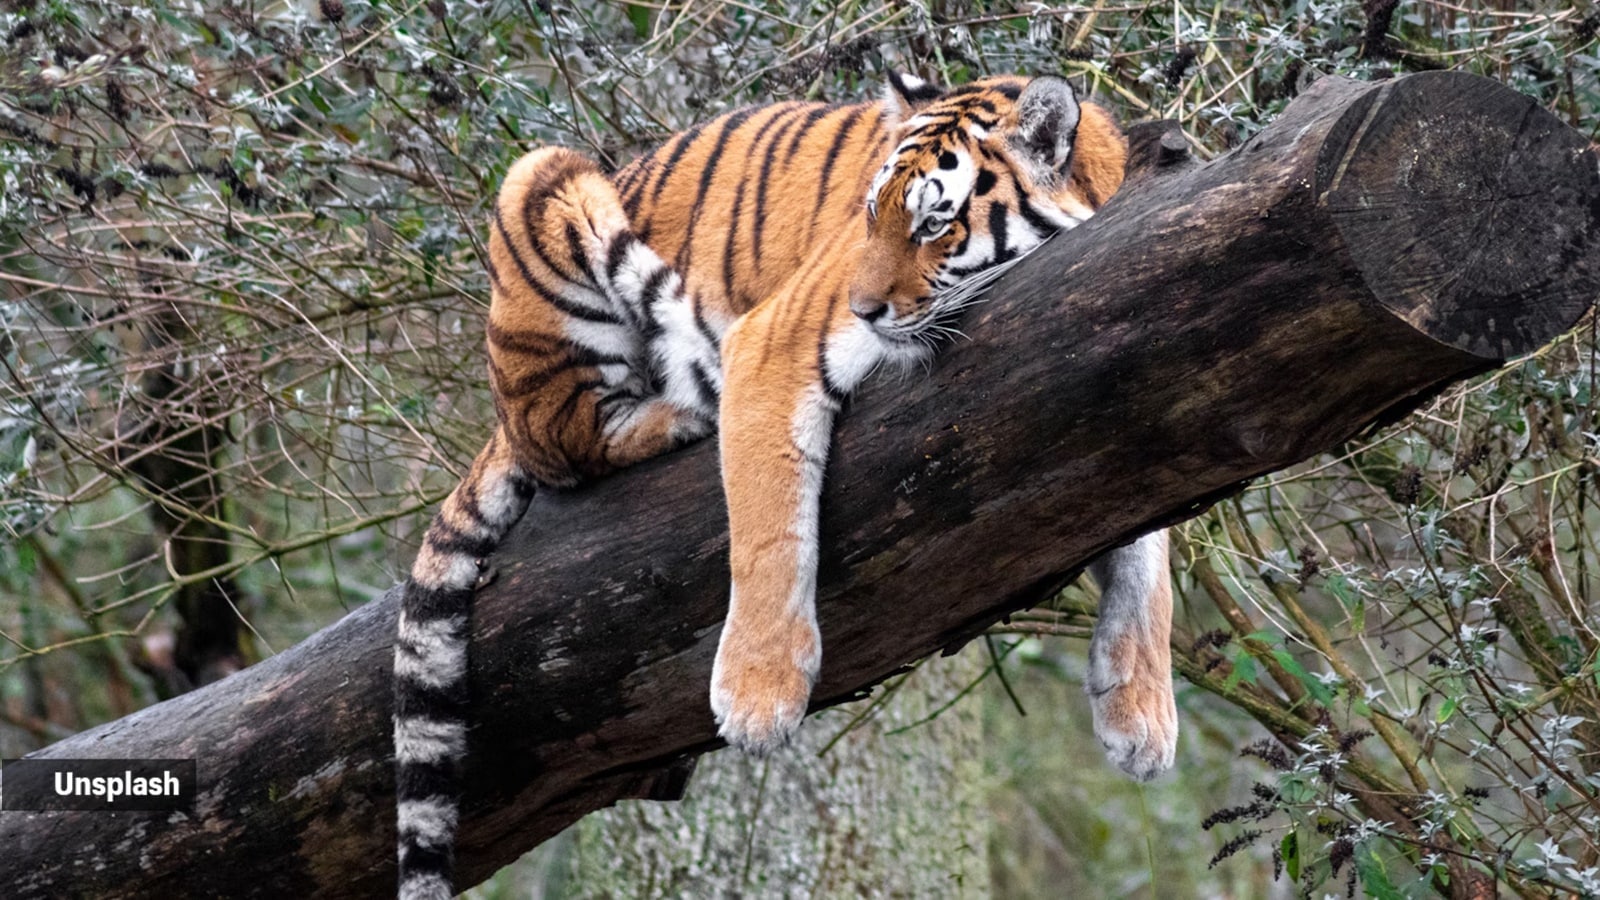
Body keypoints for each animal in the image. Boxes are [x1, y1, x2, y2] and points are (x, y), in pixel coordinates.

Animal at [393, 71, 1178, 900]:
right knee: (567, 442)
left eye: (935, 224)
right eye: (871, 214)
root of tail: (499, 414)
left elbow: (1149, 554)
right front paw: (758, 698)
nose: (863, 309)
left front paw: (1142, 714)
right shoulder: (771, 344)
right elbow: (770, 533)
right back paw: (681, 412)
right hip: (543, 181)